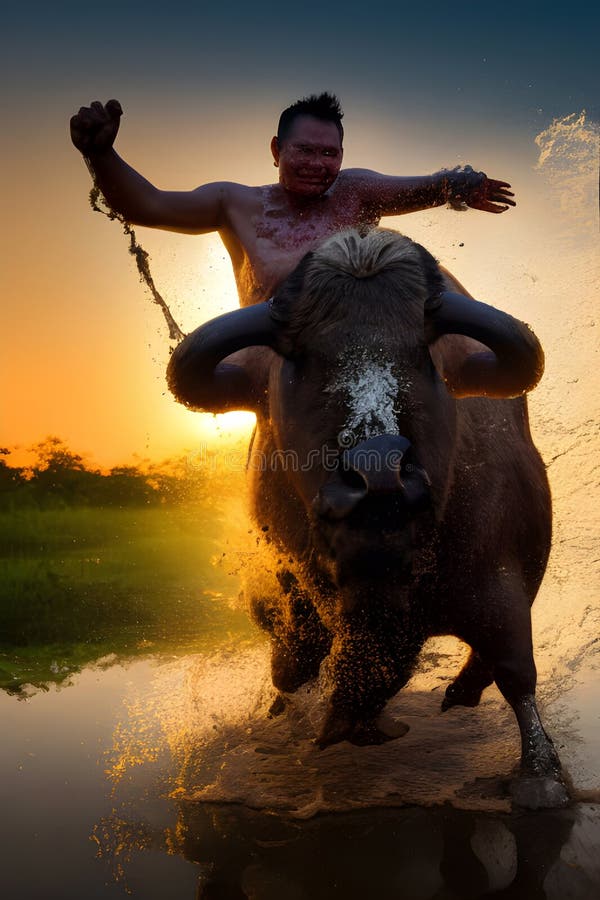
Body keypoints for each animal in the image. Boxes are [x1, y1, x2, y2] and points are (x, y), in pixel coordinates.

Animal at [168, 228, 568, 808]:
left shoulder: (499, 582)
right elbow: (316, 663)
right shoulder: (303, 587)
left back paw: (460, 693)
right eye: (303, 358)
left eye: (423, 355)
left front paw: (542, 774)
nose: (378, 475)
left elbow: (516, 671)